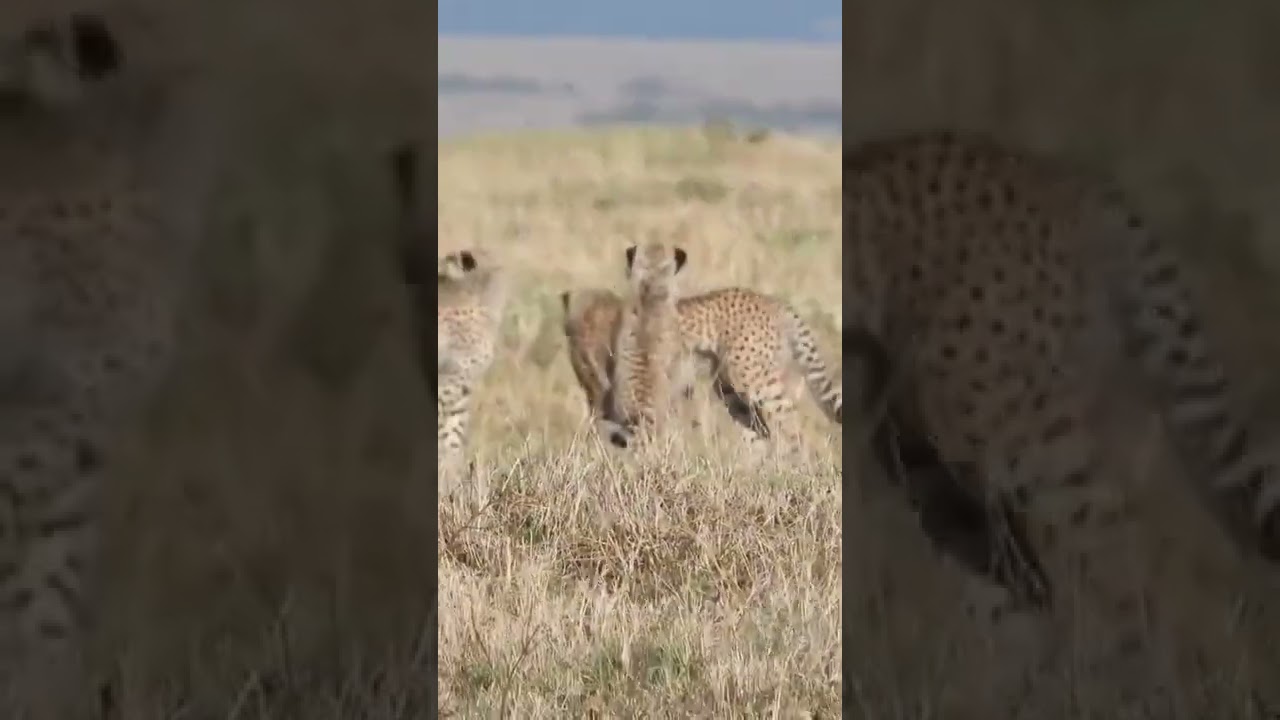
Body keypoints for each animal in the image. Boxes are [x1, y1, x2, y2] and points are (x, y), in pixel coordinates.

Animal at [842, 128, 1280, 715]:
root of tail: (1058, 175)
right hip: (930, 451)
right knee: (1022, 590)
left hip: (1024, 442)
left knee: (1118, 574)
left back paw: (1136, 696)